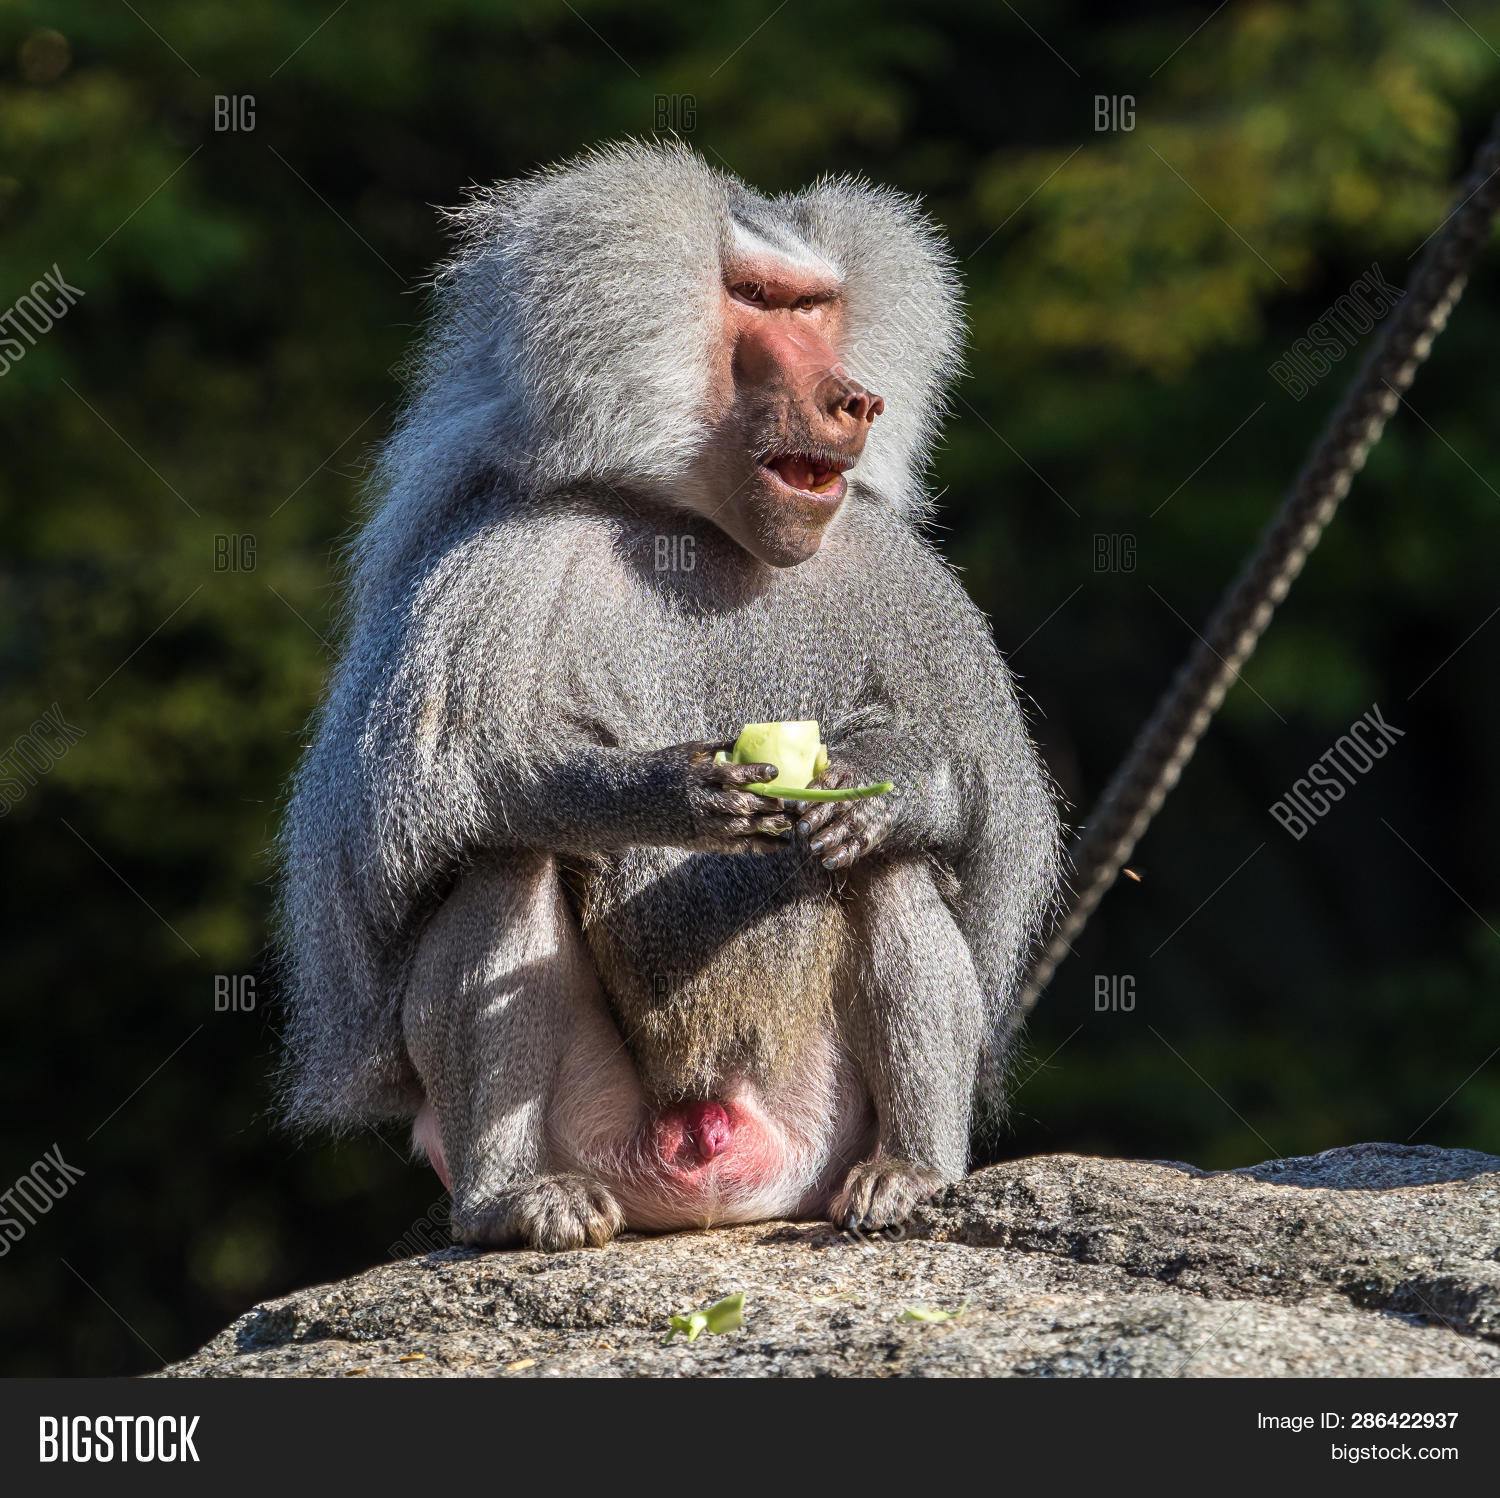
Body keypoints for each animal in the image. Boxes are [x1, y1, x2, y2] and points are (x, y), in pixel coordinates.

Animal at [277, 140, 1061, 1252]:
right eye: (758, 300)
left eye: (816, 306)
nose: (855, 400)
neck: (703, 529)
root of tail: (710, 1162)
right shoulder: (491, 567)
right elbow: (412, 802)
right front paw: (671, 792)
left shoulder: (907, 586)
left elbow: (987, 815)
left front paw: (887, 789)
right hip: (596, 1131)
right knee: (504, 857)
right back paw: (519, 1200)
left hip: (811, 1136)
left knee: (893, 870)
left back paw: (907, 1174)